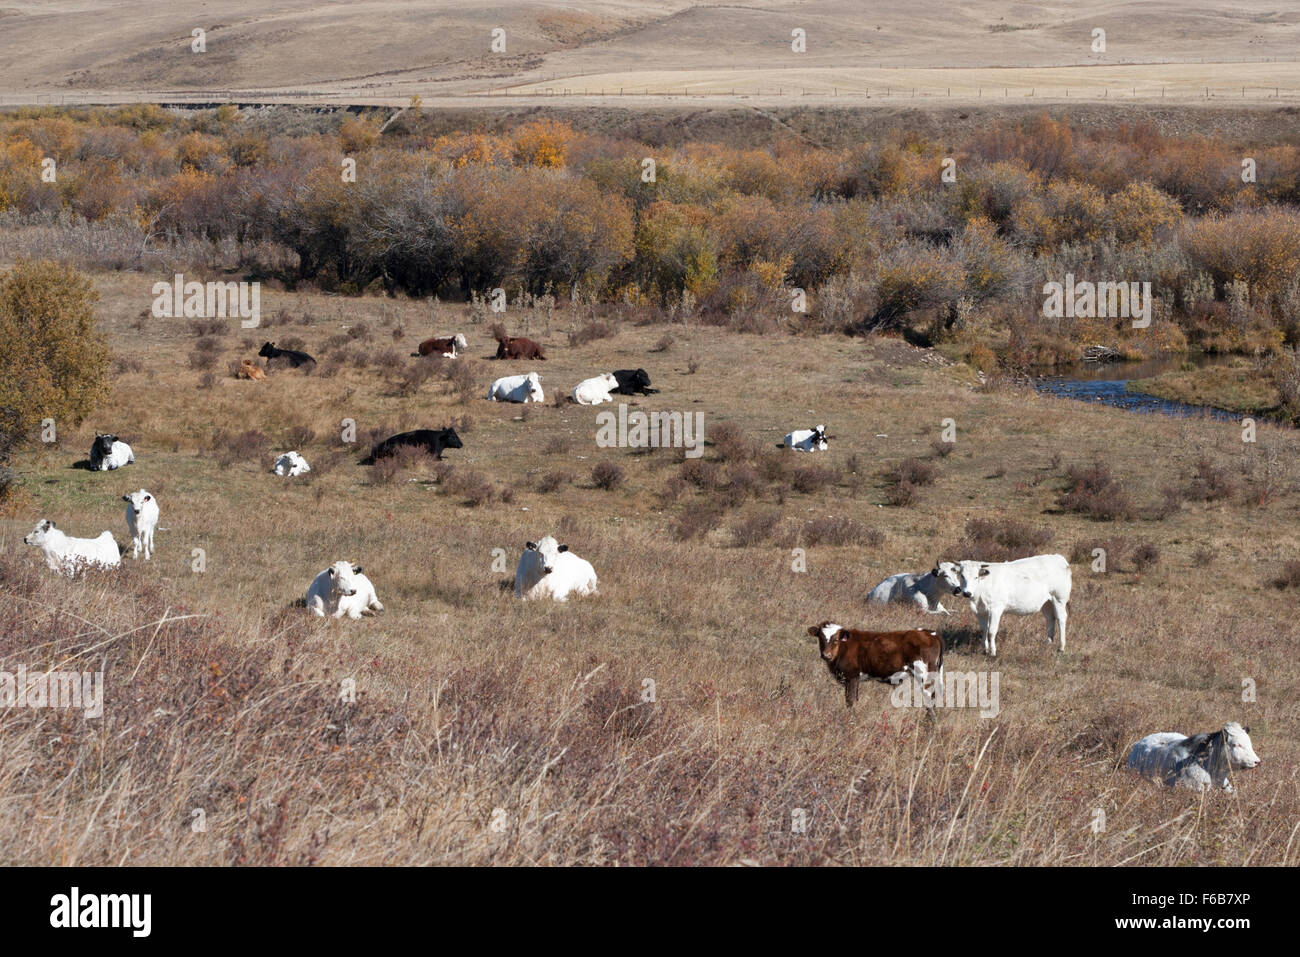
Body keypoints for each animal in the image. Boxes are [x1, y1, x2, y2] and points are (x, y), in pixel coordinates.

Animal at [807, 621, 945, 710]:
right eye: (821, 638)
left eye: (836, 640)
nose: (826, 655)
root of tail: (929, 632)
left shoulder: (851, 676)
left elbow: (850, 701)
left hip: (924, 674)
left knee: (930, 700)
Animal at [933, 554, 1071, 657]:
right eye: (961, 576)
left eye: (976, 576)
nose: (967, 593)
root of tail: (1058, 557)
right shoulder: (980, 611)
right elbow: (984, 630)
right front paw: (985, 649)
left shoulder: (995, 608)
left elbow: (991, 631)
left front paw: (993, 652)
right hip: (1046, 602)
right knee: (1050, 618)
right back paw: (1048, 643)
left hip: (1059, 598)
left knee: (1061, 618)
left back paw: (1061, 647)